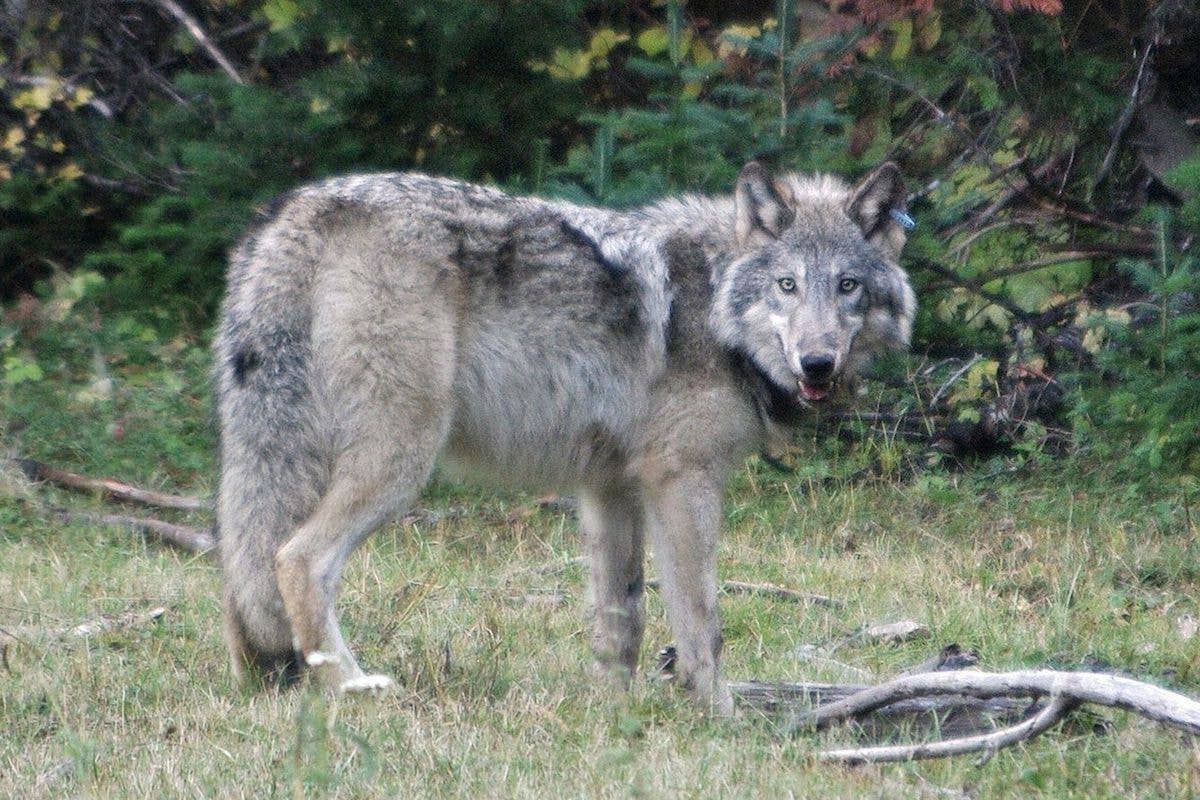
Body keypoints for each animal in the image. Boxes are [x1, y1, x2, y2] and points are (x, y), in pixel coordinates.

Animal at [214, 161, 916, 713]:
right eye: (787, 285)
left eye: (848, 286)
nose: (817, 364)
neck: (716, 305)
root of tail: (304, 205)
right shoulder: (681, 481)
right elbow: (701, 624)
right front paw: (721, 720)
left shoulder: (610, 486)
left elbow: (621, 619)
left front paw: (615, 717)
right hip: (402, 463)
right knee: (296, 558)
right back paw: (352, 689)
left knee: (244, 565)